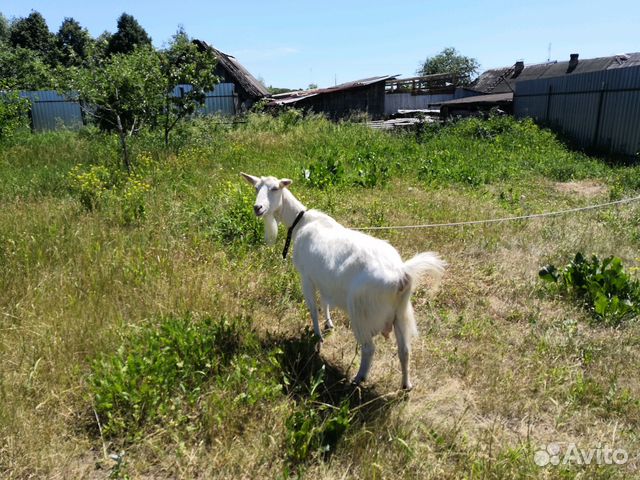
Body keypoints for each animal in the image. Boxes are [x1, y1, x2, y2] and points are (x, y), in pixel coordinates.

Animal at [241, 172, 445, 390]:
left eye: (275, 189)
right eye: (256, 188)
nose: (258, 208)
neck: (301, 223)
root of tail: (402, 274)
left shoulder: (306, 276)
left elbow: (313, 308)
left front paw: (318, 337)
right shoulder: (324, 279)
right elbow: (325, 302)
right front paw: (329, 324)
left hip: (361, 312)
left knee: (369, 348)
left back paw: (357, 379)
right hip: (401, 314)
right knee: (405, 350)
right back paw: (406, 385)